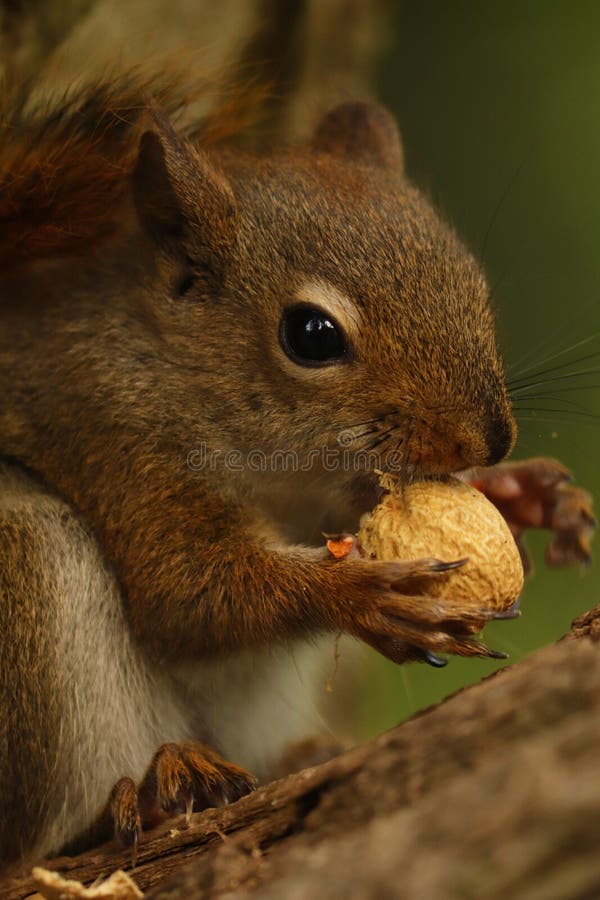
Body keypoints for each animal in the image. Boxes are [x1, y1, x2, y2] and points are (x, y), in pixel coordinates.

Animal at [0, 65, 595, 871]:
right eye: (311, 335)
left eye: (471, 281)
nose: (491, 441)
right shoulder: (110, 438)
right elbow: (187, 592)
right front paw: (361, 596)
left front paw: (523, 493)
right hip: (24, 575)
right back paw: (150, 798)